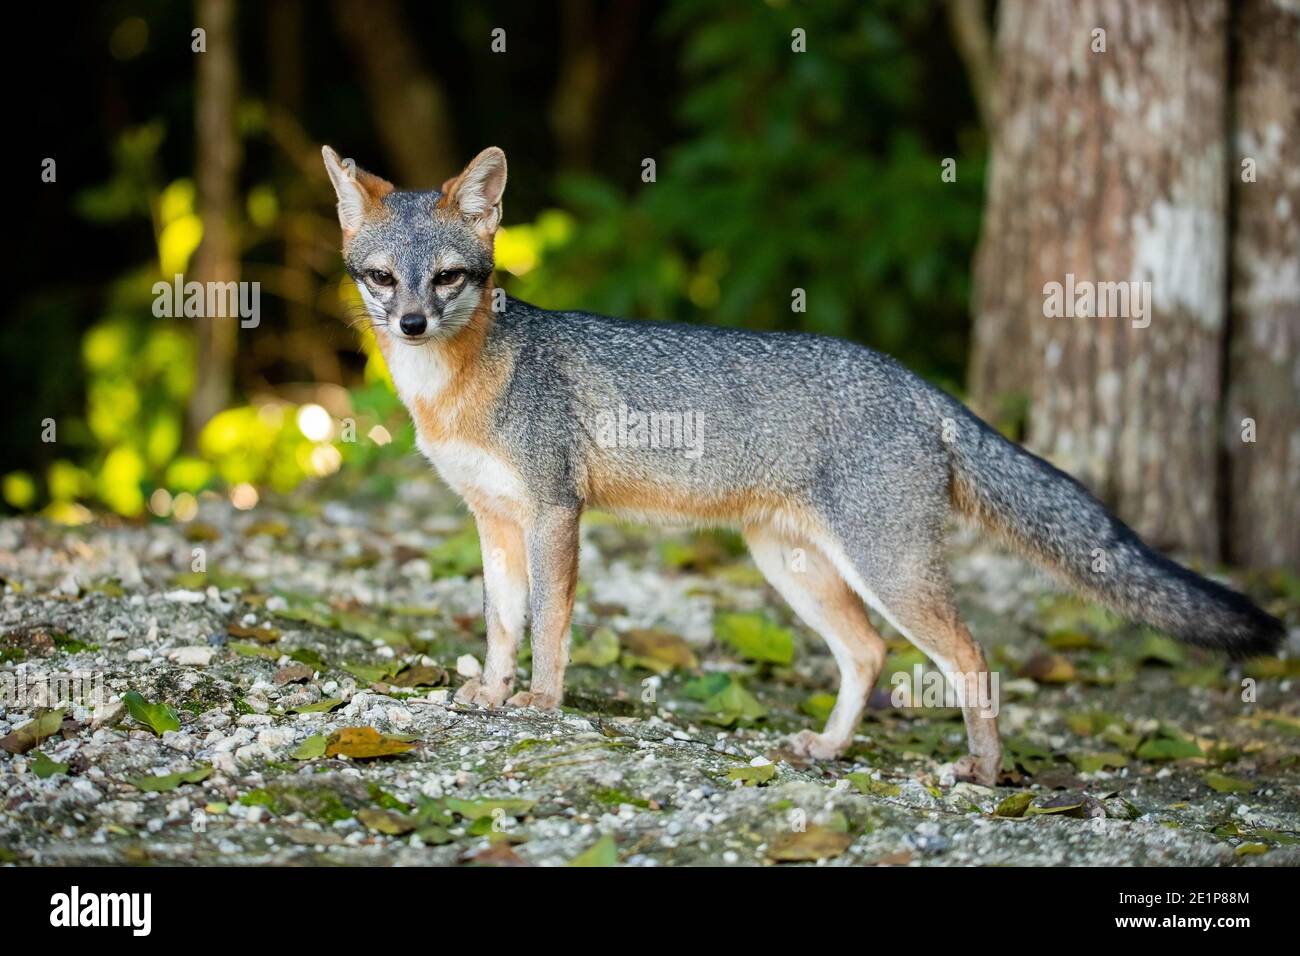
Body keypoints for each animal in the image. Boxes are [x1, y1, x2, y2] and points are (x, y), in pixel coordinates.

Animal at [322, 144, 1284, 786]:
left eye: (448, 278)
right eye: (383, 278)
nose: (410, 324)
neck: (459, 386)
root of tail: (919, 385)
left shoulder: (556, 510)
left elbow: (551, 627)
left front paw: (544, 704)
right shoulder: (493, 519)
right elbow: (501, 624)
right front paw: (492, 693)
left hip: (888, 569)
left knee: (971, 658)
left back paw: (981, 771)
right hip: (792, 566)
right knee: (867, 654)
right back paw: (829, 747)